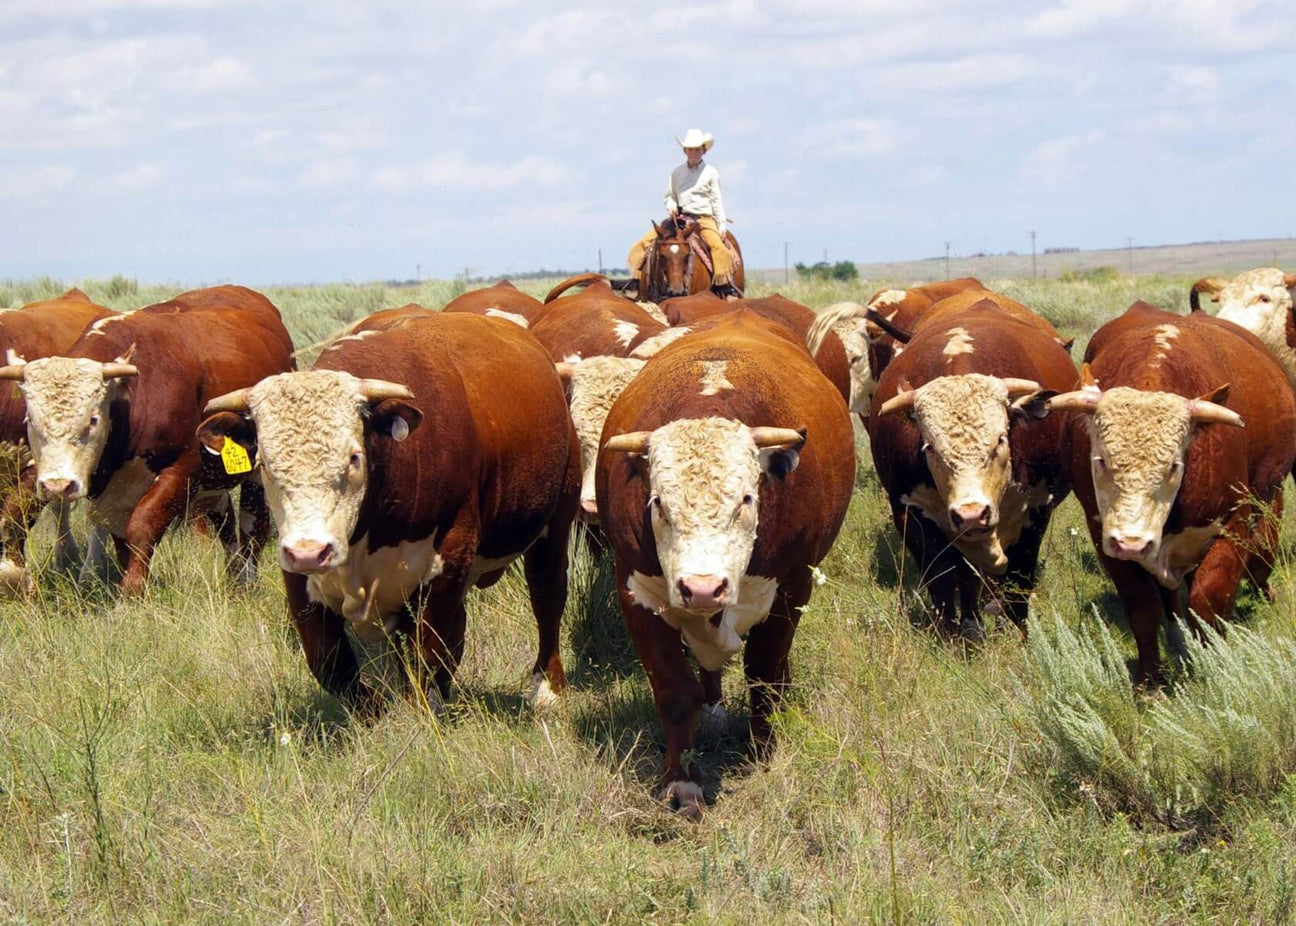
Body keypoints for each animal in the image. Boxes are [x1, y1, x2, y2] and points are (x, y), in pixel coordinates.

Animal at [198, 312, 580, 711]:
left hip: (555, 525)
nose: (311, 552)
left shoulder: (449, 558)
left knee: (547, 596)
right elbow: (329, 662)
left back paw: (547, 688)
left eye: (354, 457)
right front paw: (373, 711)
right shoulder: (298, 573)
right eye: (265, 464)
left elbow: (427, 654)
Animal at [596, 309, 854, 816]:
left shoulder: (791, 587)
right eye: (658, 503)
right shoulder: (636, 593)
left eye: (747, 499)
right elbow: (675, 691)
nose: (701, 587)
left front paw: (764, 752)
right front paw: (682, 784)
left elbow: (764, 673)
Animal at [869, 301, 1077, 635]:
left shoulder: (1036, 510)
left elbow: (1019, 581)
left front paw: (1018, 634)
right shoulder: (910, 514)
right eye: (930, 447)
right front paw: (955, 632)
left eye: (1001, 439)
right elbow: (944, 580)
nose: (971, 514)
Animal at [1049, 302, 1296, 685]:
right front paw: (1149, 681)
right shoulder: (1103, 533)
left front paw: (1212, 667)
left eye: (1174, 466)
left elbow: (1209, 600)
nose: (1132, 542)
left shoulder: (1233, 522)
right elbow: (1143, 609)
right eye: (1101, 460)